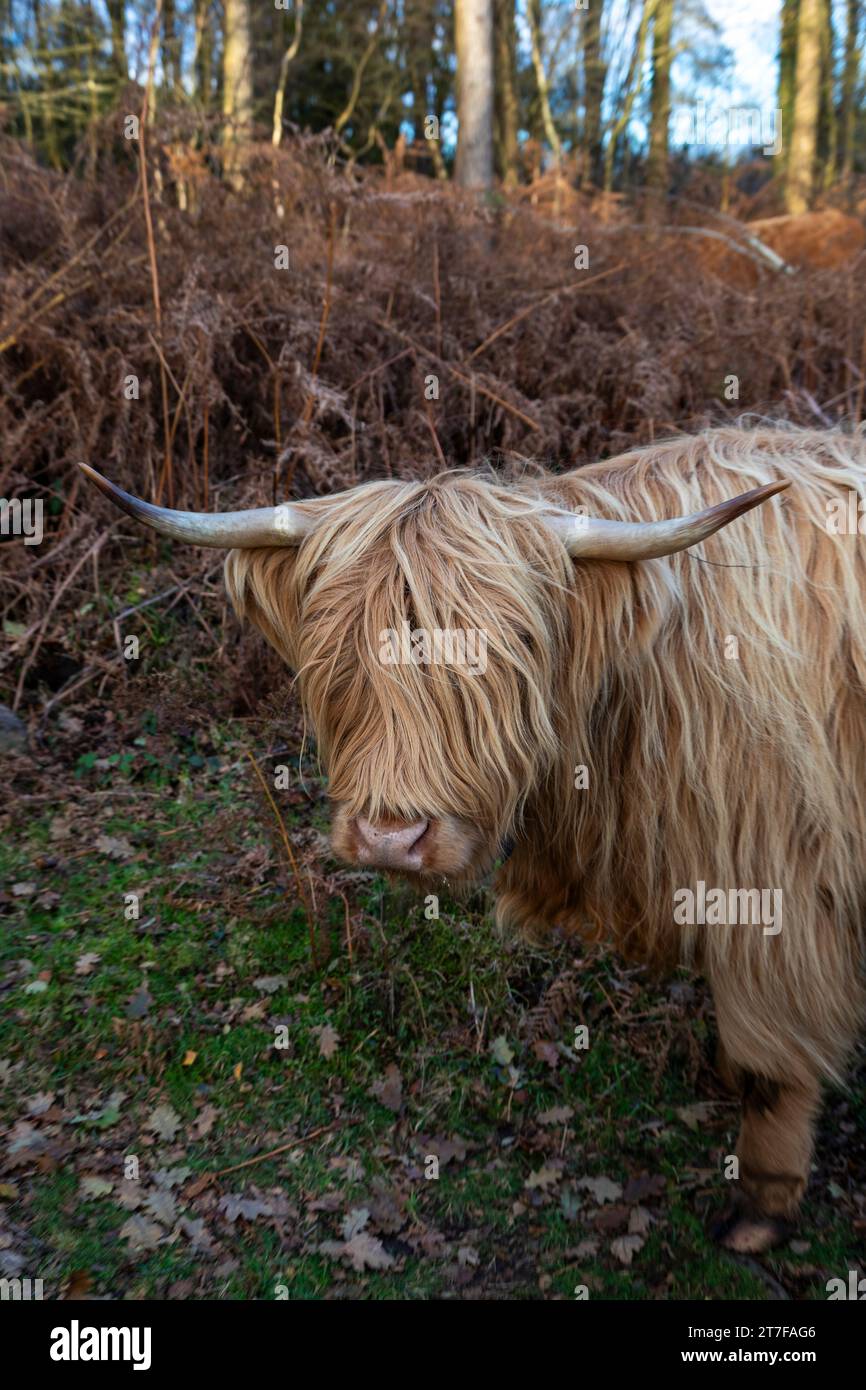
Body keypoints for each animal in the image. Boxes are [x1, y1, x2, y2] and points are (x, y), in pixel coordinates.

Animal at [80, 425, 866, 1254]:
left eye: (507, 646)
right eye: (335, 648)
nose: (390, 838)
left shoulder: (779, 890)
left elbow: (770, 1065)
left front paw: (759, 1211)